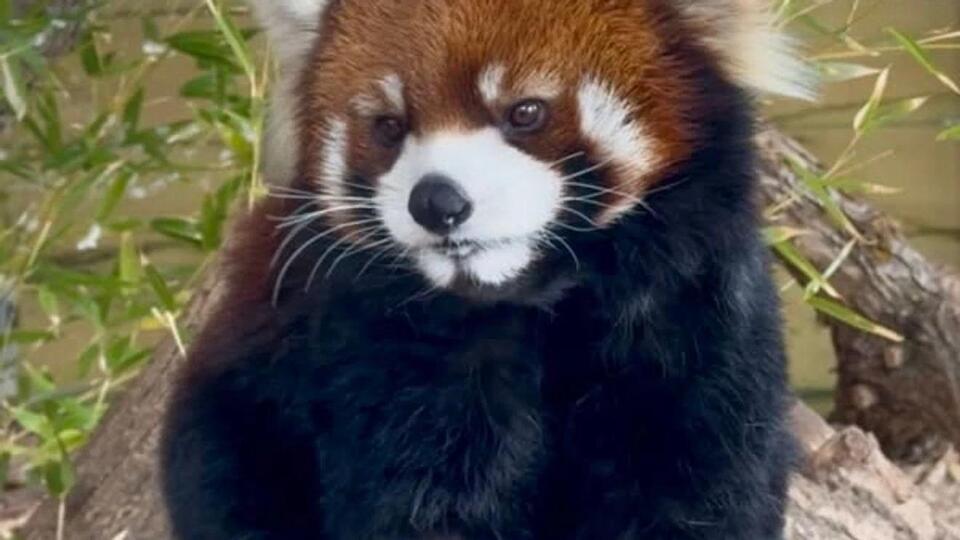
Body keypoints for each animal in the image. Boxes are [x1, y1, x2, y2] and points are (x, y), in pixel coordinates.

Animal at [160, 1, 815, 538]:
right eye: (390, 127)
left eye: (524, 112)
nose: (436, 202)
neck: (534, 294)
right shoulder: (391, 361)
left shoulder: (692, 328)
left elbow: (702, 493)